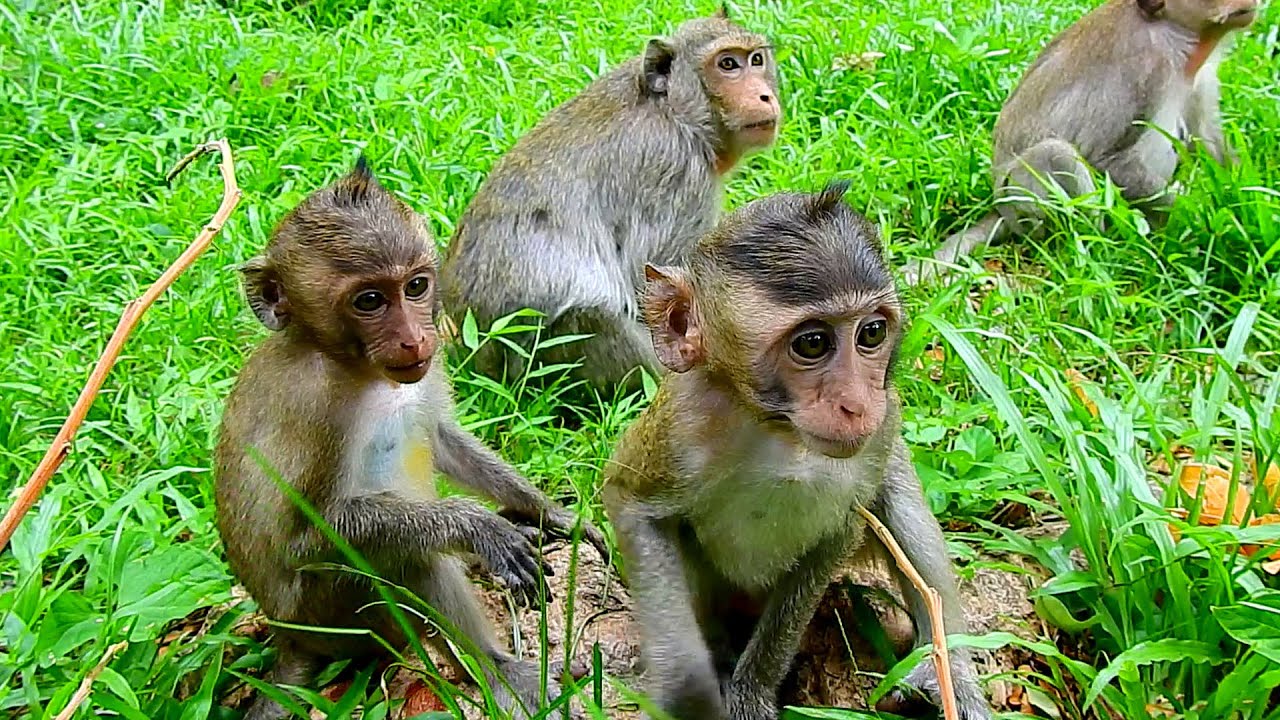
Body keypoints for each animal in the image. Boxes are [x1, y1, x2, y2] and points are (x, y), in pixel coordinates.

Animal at [214, 158, 608, 720]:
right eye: (370, 300)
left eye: (416, 286)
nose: (414, 338)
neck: (352, 366)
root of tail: (291, 636)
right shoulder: (313, 407)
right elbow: (307, 537)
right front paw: (476, 527)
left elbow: (440, 438)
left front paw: (550, 513)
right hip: (337, 614)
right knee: (406, 556)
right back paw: (497, 667)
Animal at [440, 7, 781, 392]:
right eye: (727, 65)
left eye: (756, 60)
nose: (764, 96)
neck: (674, 112)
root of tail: (473, 355)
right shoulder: (674, 171)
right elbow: (654, 278)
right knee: (592, 316)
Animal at [601, 182, 991, 720]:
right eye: (811, 344)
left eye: (871, 333)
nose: (857, 404)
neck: (781, 433)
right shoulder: (681, 426)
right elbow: (633, 506)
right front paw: (688, 689)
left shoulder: (881, 431)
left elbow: (839, 534)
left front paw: (751, 692)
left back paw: (948, 673)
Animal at [903, 0, 1259, 285]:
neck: (1176, 35)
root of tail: (998, 208)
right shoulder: (1146, 67)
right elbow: (1106, 157)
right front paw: (1207, 215)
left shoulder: (1202, 76)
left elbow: (1209, 145)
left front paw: (1243, 198)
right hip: (1020, 200)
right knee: (1057, 153)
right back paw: (1099, 254)